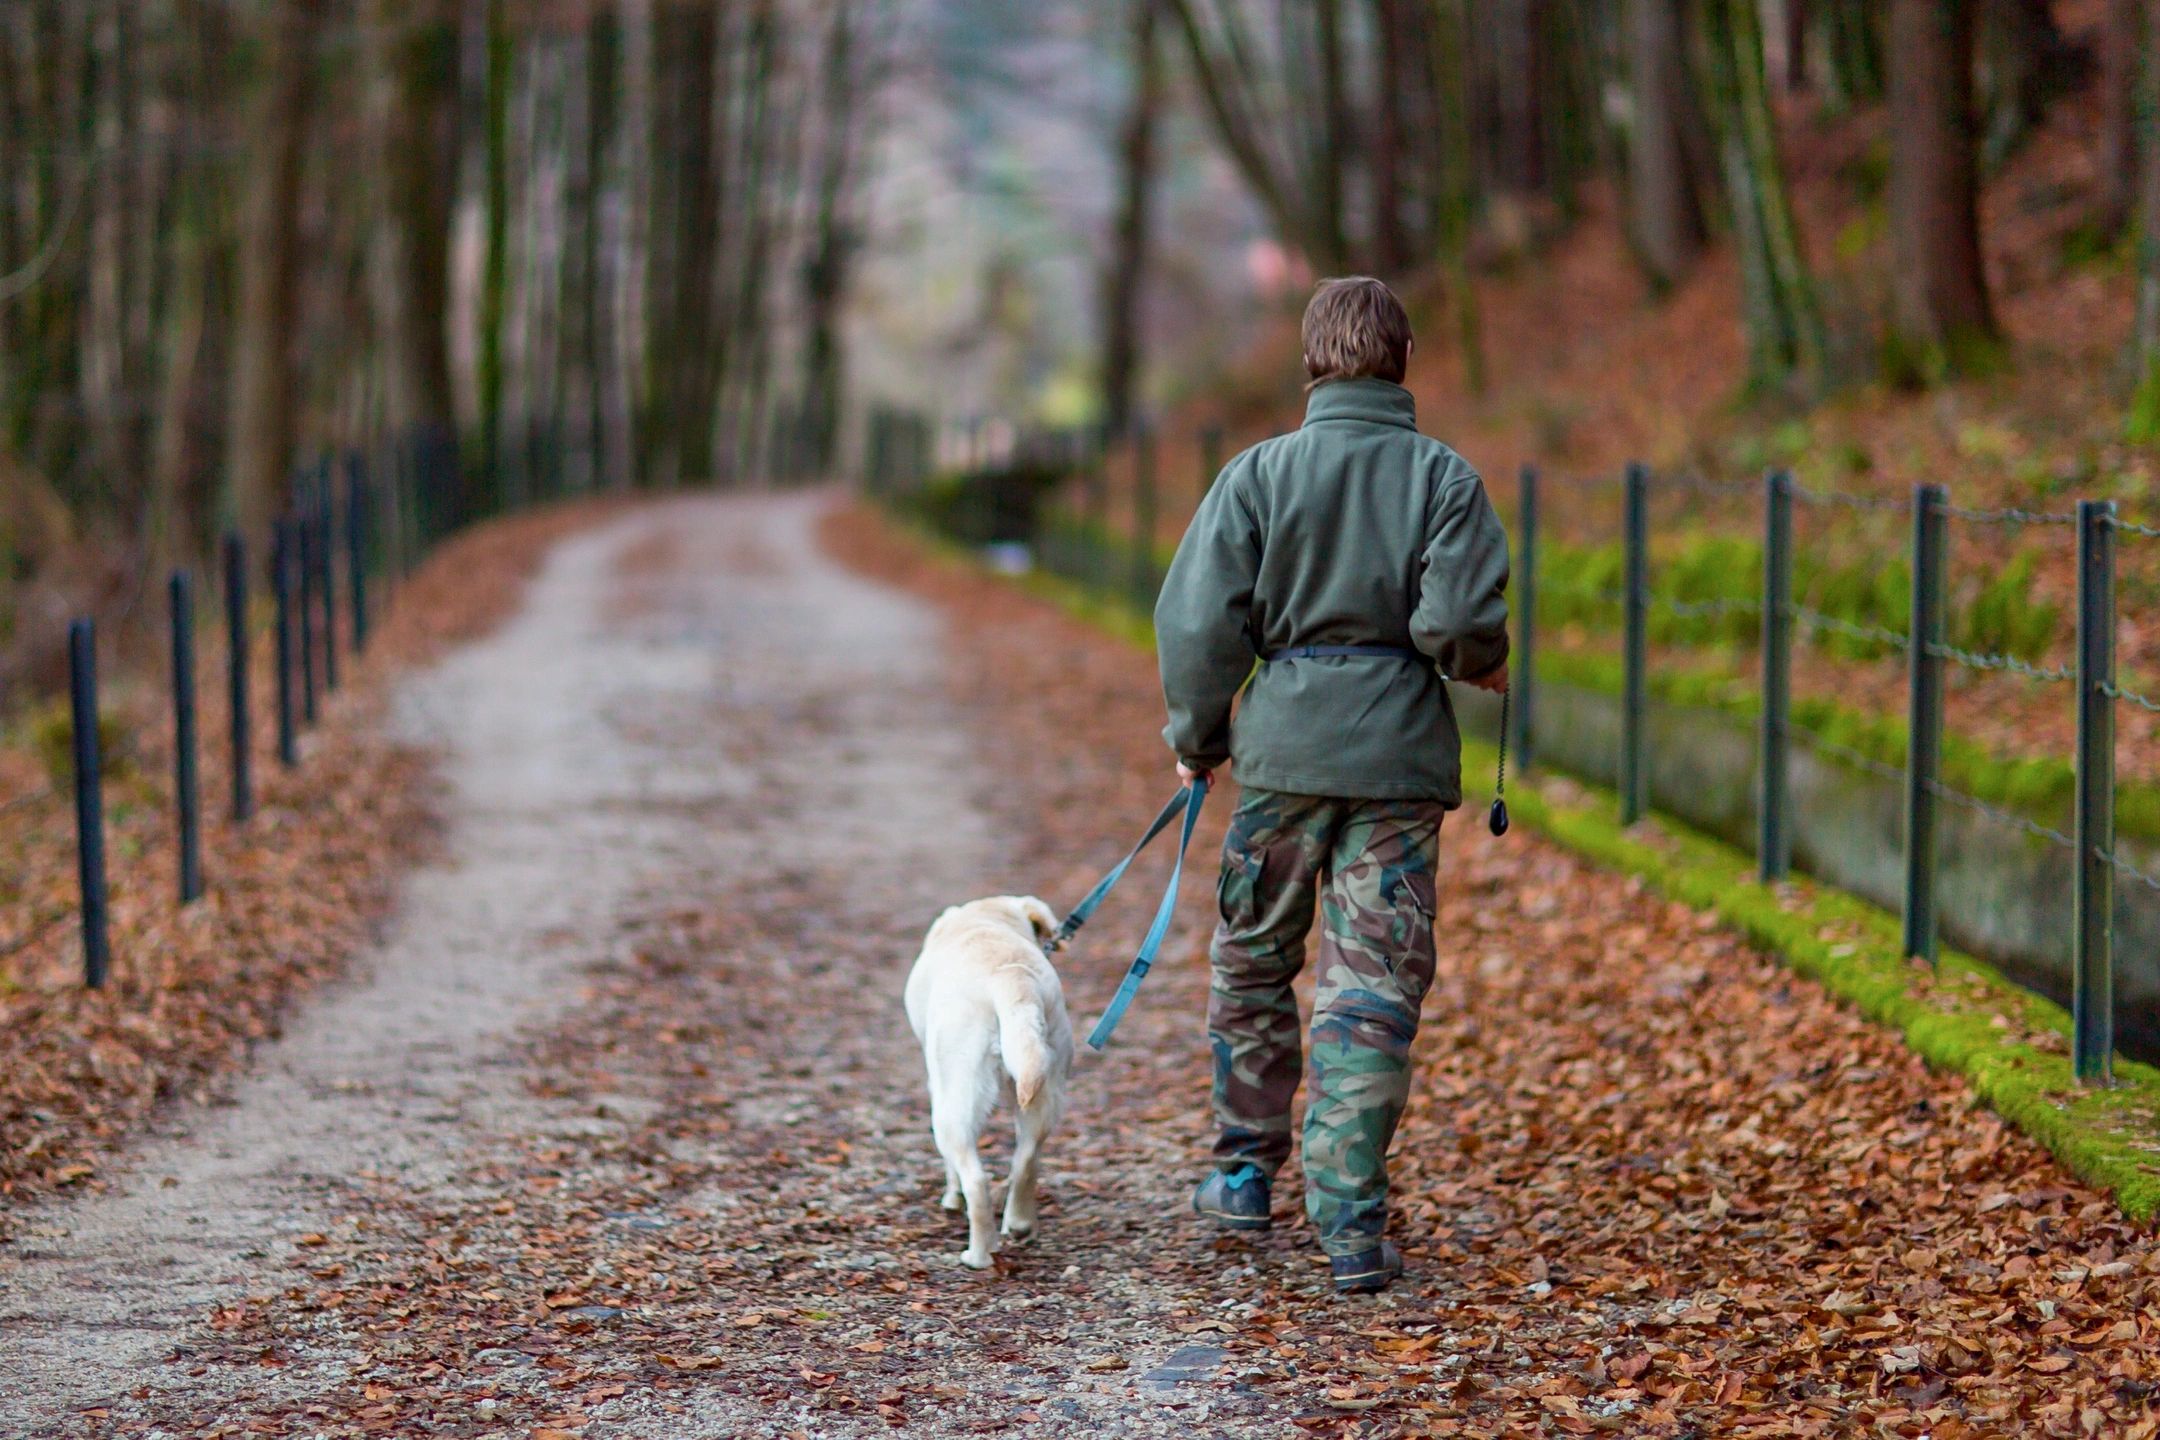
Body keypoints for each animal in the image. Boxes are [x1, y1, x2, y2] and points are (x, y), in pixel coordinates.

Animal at [902, 902, 1071, 1269]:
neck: (989, 916)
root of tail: (1010, 975)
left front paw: (950, 1199)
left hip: (954, 1103)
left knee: (976, 1179)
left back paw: (977, 1255)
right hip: (1044, 1089)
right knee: (1026, 1160)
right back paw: (1019, 1225)